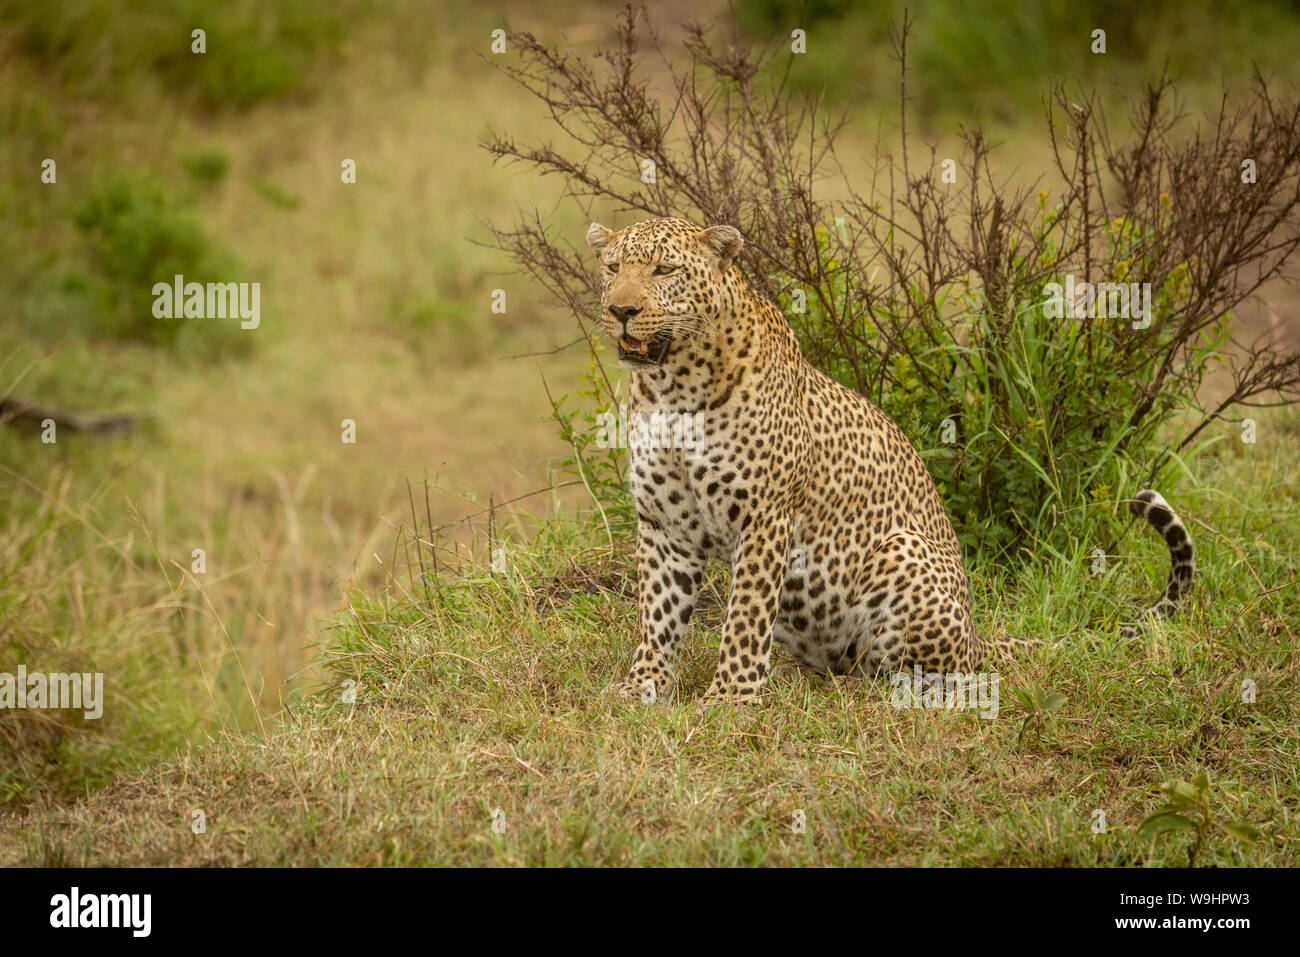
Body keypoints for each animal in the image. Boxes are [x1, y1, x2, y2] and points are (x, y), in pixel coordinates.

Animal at [586, 216, 1195, 705]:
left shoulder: (763, 520)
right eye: (613, 268)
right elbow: (659, 613)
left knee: (924, 670)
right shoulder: (663, 525)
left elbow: (744, 617)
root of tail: (978, 634)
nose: (621, 310)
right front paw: (643, 686)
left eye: (664, 269)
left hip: (900, 553)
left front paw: (730, 697)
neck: (672, 389)